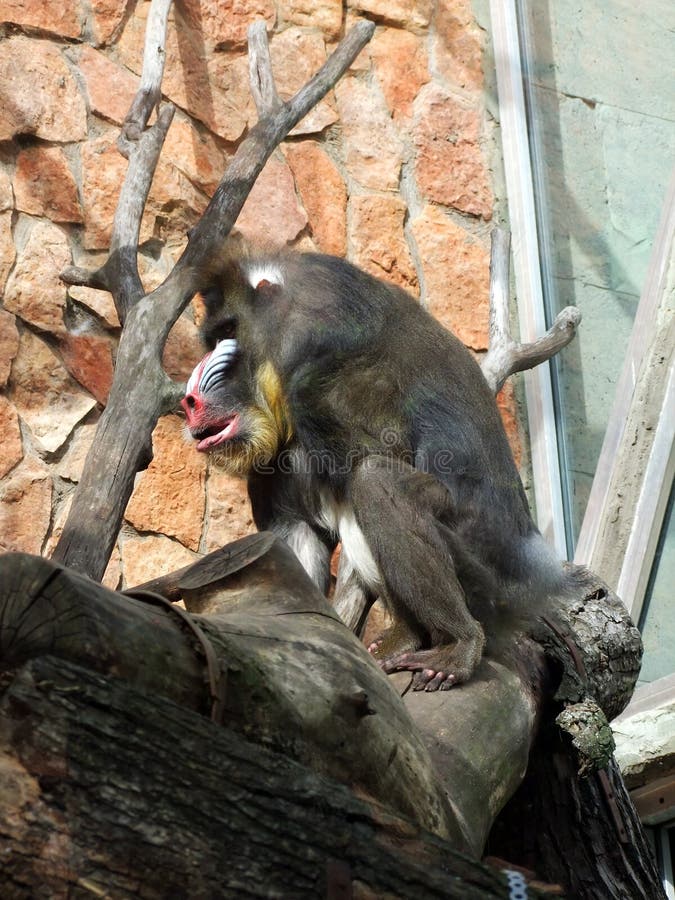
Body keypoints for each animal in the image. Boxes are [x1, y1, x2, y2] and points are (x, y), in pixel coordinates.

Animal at [181, 247, 568, 691]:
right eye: (213, 338)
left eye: (230, 331)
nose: (189, 402)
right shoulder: (273, 474)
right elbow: (296, 538)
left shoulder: (320, 364)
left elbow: (377, 461)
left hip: (483, 582)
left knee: (376, 481)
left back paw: (456, 644)